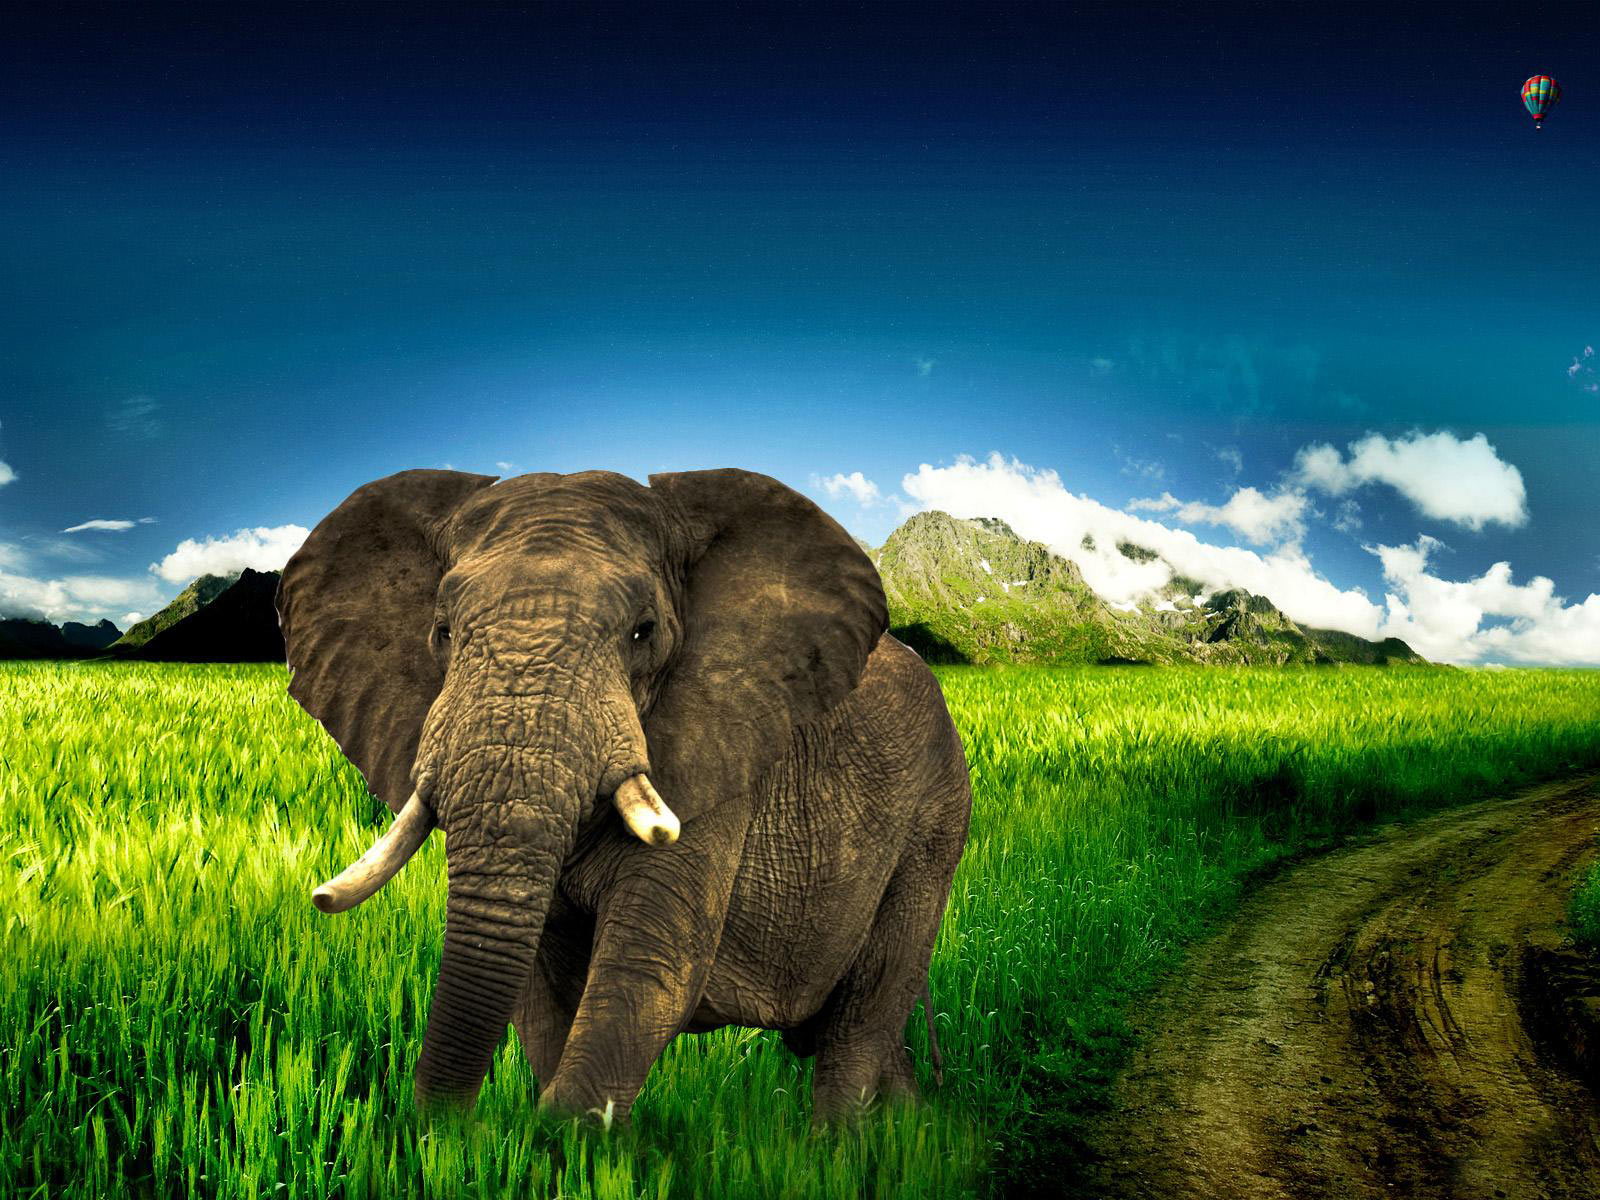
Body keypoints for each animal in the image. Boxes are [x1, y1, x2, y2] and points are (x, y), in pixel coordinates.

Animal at [276, 466, 972, 1126]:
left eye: (644, 632)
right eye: (442, 632)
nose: (445, 1130)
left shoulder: (719, 757)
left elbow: (648, 966)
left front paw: (560, 1140)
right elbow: (540, 988)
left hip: (934, 825)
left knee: (862, 1020)